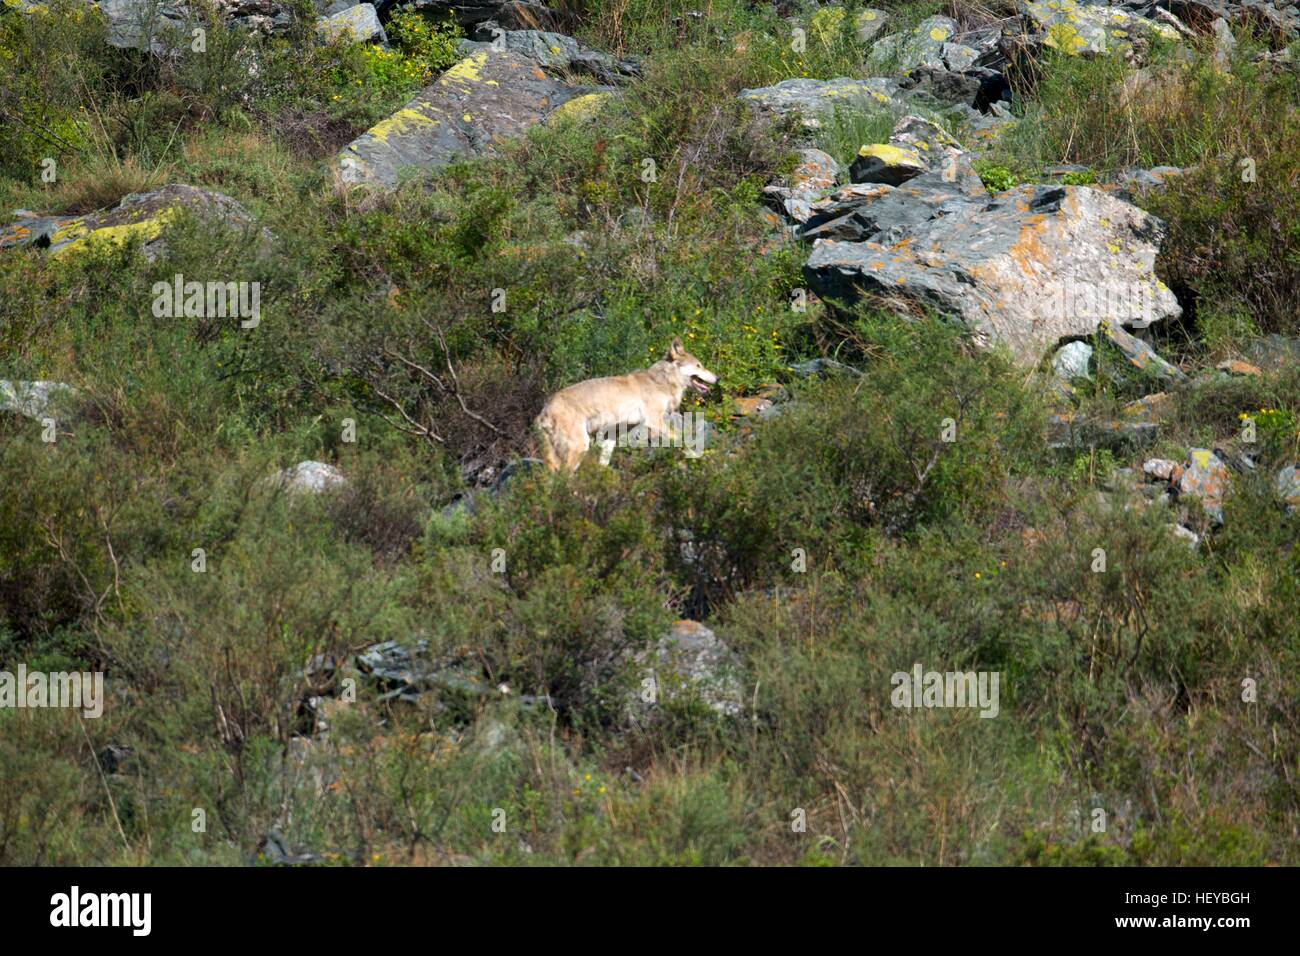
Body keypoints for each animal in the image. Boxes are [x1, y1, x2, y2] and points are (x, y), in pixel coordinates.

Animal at [535, 338, 718, 472]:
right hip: (580, 447)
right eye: (699, 365)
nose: (718, 378)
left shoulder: (612, 434)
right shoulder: (654, 422)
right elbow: (681, 439)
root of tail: (545, 410)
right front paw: (695, 455)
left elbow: (604, 464)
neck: (663, 381)